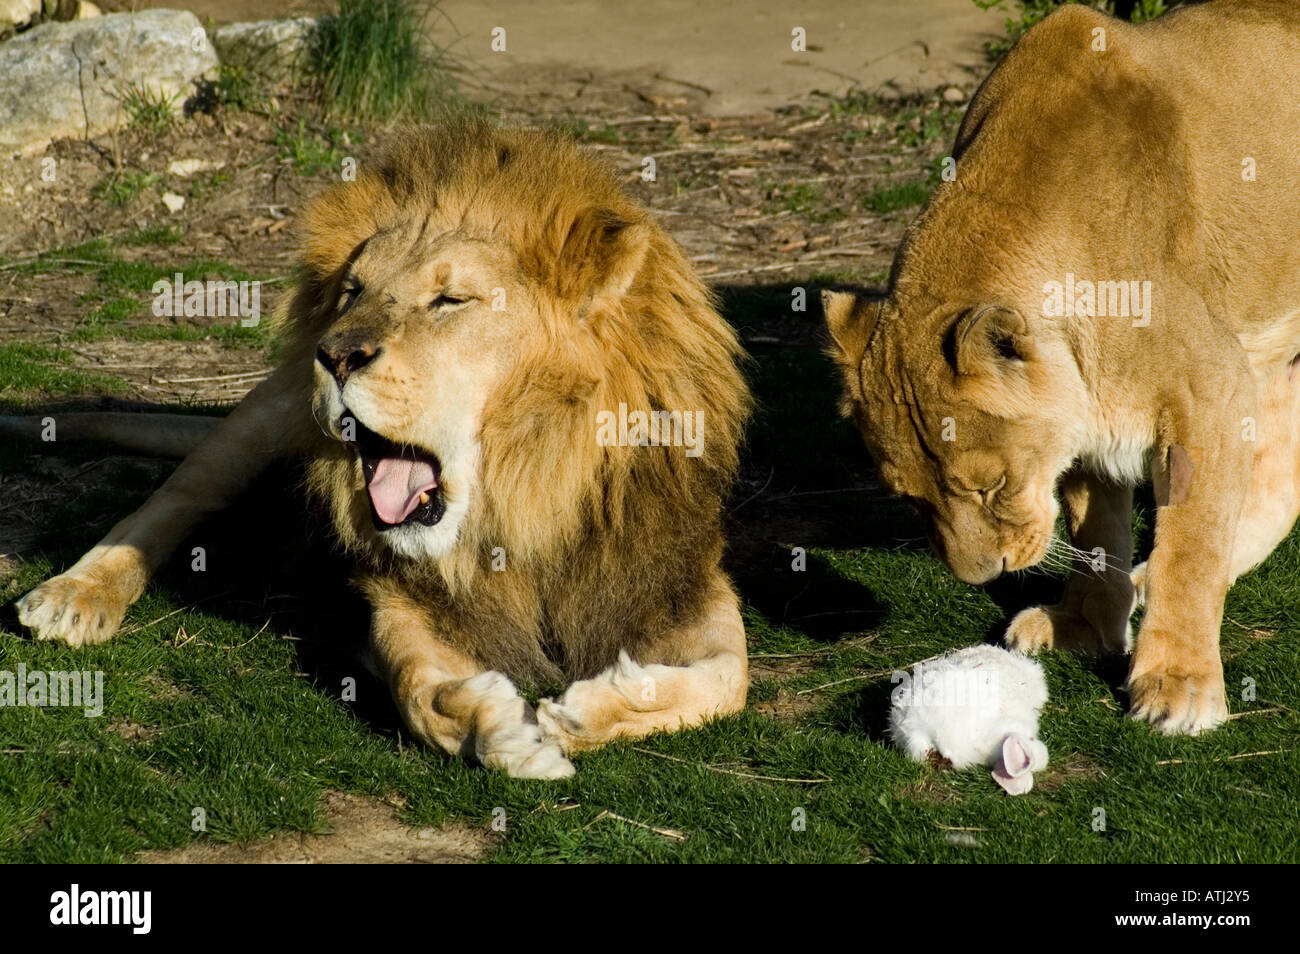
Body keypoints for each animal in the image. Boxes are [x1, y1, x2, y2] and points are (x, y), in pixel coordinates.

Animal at [12, 121, 752, 778]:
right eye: (353, 290)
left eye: (450, 300)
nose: (334, 354)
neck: (530, 497)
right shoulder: (399, 593)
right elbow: (417, 688)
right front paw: (504, 734)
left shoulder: (674, 574)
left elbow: (730, 678)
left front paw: (589, 710)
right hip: (265, 418)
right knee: (173, 498)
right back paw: (73, 595)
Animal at [823, 0, 1300, 736]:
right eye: (909, 499)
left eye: (990, 486)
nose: (980, 577)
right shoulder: (1081, 419)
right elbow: (1093, 527)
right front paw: (1085, 625)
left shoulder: (1212, 389)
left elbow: (1190, 546)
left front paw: (1178, 684)